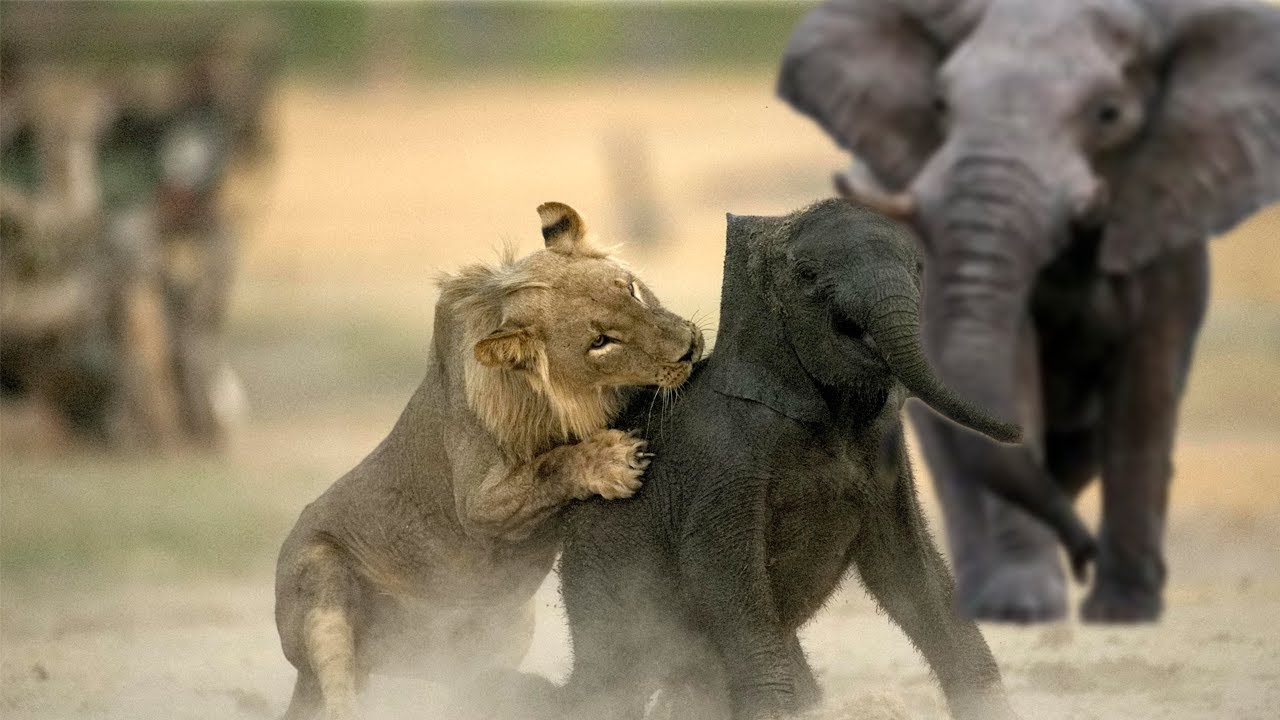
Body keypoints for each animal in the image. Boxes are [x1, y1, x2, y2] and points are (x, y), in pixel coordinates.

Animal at [548, 200, 1025, 720]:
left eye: (919, 267)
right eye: (807, 275)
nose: (1021, 430)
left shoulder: (884, 447)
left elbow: (907, 566)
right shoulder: (729, 456)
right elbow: (721, 564)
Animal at [777, 0, 1280, 622]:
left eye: (1109, 114)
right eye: (940, 105)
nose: (1084, 557)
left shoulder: (1164, 220)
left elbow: (1145, 384)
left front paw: (1125, 611)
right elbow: (1012, 372)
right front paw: (1026, 606)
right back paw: (976, 600)